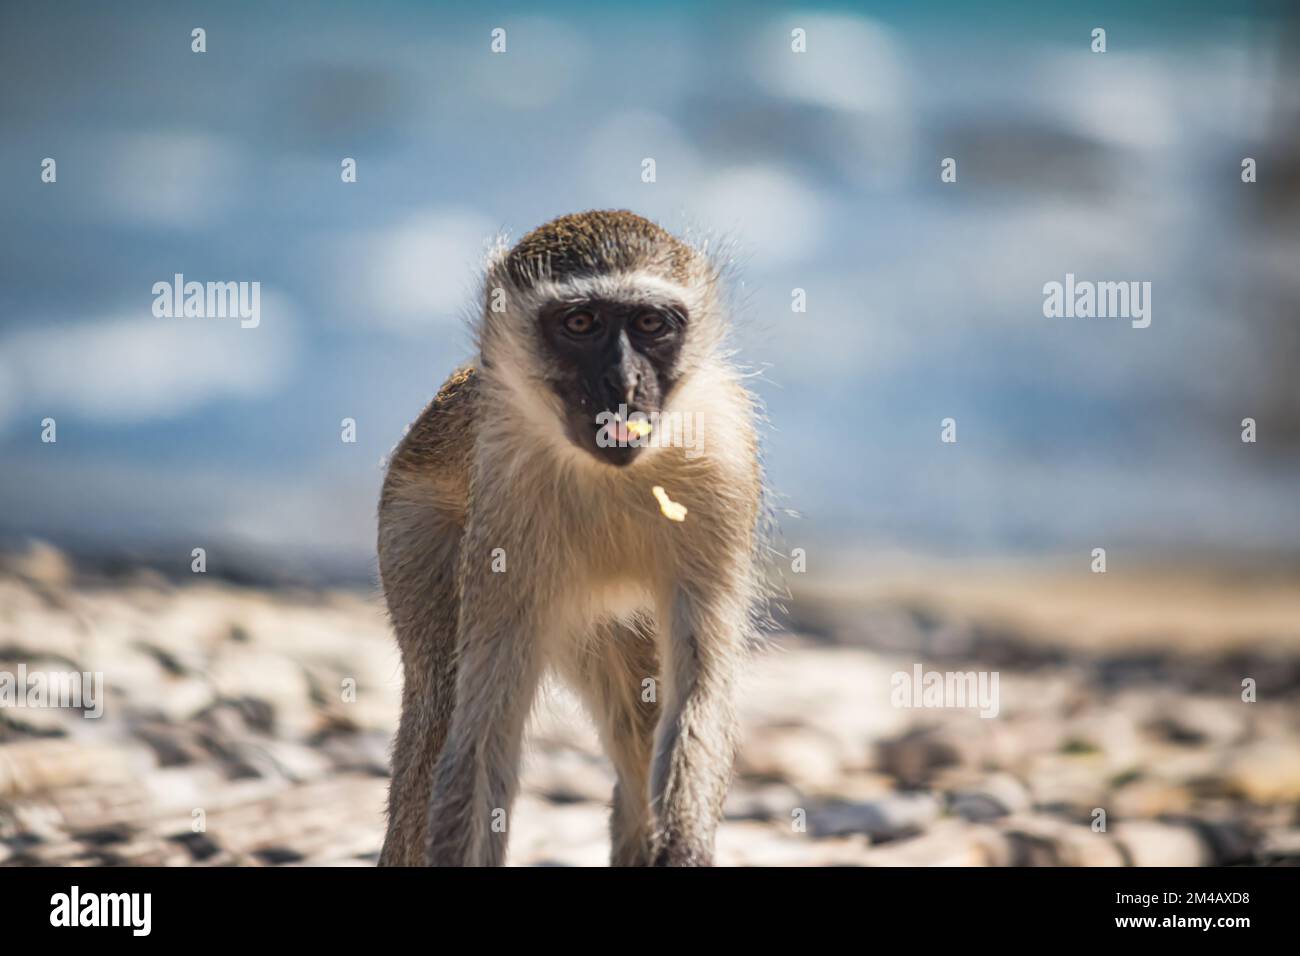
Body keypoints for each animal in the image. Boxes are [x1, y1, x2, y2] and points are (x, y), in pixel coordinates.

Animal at [376, 209, 765, 867]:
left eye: (650, 324)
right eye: (580, 324)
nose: (624, 383)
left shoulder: (724, 464)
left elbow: (699, 691)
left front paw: (683, 846)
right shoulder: (500, 500)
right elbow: (480, 734)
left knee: (639, 727)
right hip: (411, 529)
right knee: (439, 703)